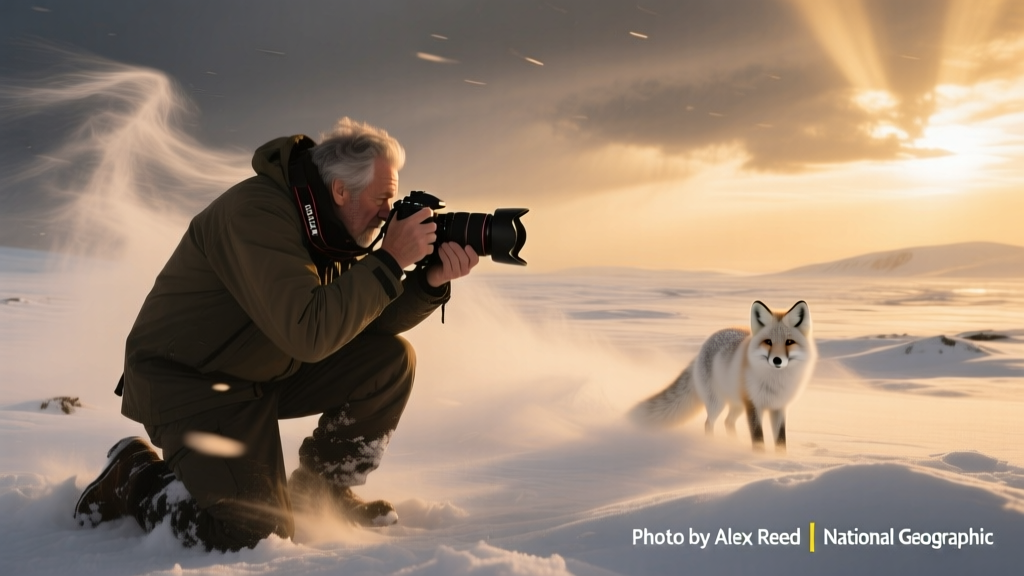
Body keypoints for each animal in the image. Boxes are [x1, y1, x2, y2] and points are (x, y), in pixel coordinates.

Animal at [631, 301, 816, 452]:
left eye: (789, 342)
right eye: (768, 342)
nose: (777, 360)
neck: (776, 382)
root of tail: (704, 345)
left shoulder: (779, 407)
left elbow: (780, 441)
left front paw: (780, 459)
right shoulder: (753, 404)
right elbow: (758, 439)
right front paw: (759, 458)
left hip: (737, 405)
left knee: (728, 422)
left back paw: (733, 444)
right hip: (717, 403)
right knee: (709, 423)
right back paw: (712, 445)